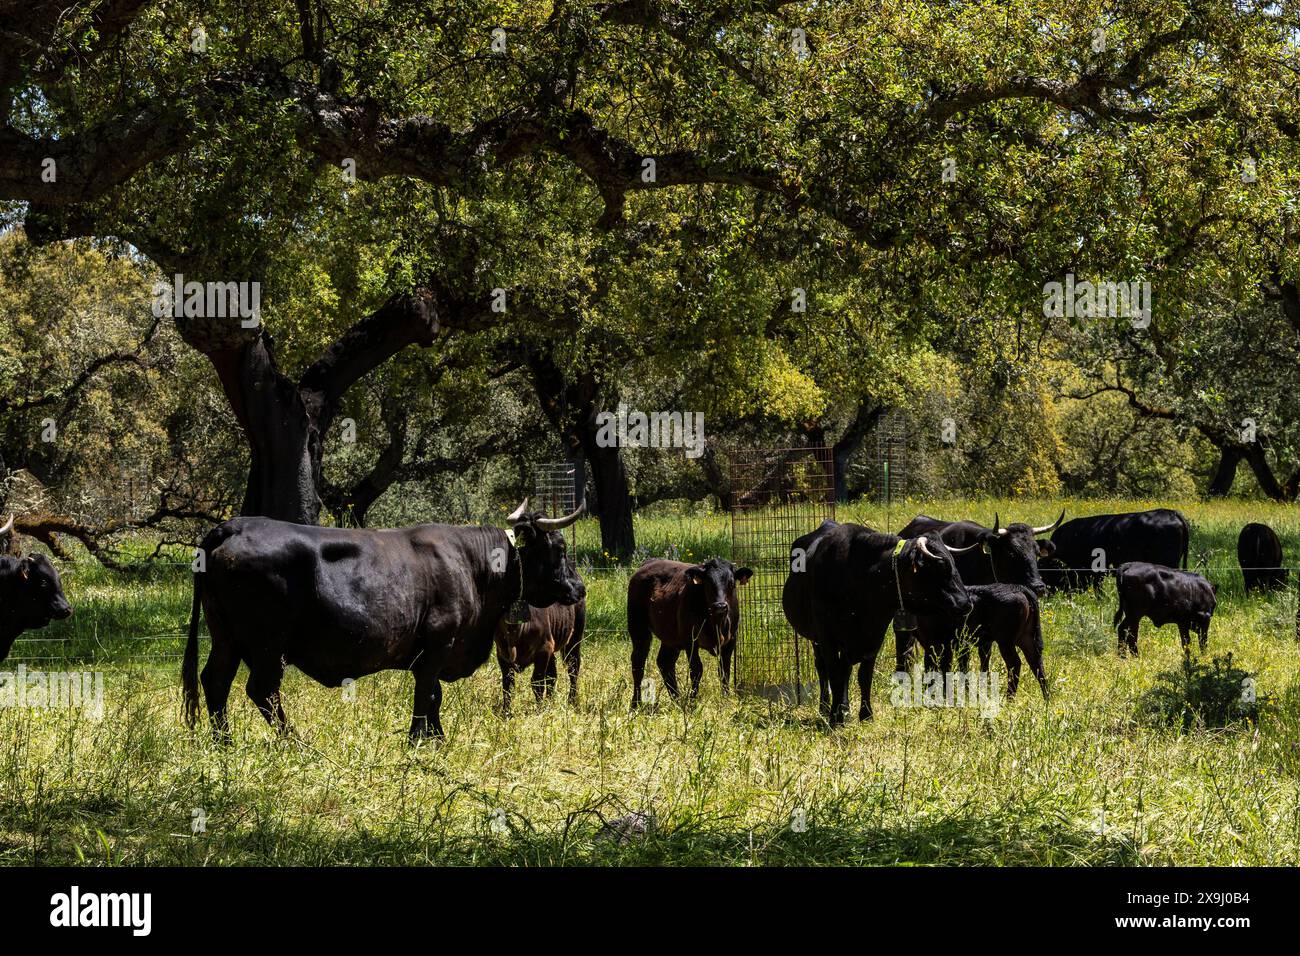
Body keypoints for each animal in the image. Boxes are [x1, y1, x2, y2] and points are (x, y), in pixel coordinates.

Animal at [181, 500, 586, 742]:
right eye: (560, 549)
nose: (579, 587)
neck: (472, 563)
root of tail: (232, 527)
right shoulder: (439, 644)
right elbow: (427, 693)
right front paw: (418, 740)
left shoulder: (429, 654)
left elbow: (434, 697)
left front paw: (436, 737)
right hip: (267, 644)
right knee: (261, 690)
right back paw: (294, 742)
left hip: (227, 637)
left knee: (215, 682)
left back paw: (224, 743)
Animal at [627, 557, 753, 707]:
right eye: (708, 582)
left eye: (732, 583)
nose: (720, 606)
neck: (716, 622)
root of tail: (650, 562)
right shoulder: (690, 640)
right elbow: (696, 669)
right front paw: (692, 700)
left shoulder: (731, 640)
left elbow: (724, 670)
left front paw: (725, 699)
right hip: (638, 627)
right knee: (638, 662)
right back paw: (635, 703)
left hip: (671, 638)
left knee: (665, 662)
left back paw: (676, 699)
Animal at [782, 521, 974, 725]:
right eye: (940, 567)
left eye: (954, 564)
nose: (966, 603)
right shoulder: (827, 638)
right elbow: (834, 674)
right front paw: (835, 717)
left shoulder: (874, 635)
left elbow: (863, 676)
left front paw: (865, 714)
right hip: (816, 640)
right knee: (822, 668)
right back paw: (825, 707)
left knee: (846, 670)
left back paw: (844, 706)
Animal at [911, 584, 1049, 699]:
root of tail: (1018, 587)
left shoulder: (936, 643)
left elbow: (937, 667)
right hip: (1026, 638)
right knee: (1036, 663)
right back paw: (1046, 699)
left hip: (1006, 641)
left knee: (1015, 663)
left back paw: (1008, 698)